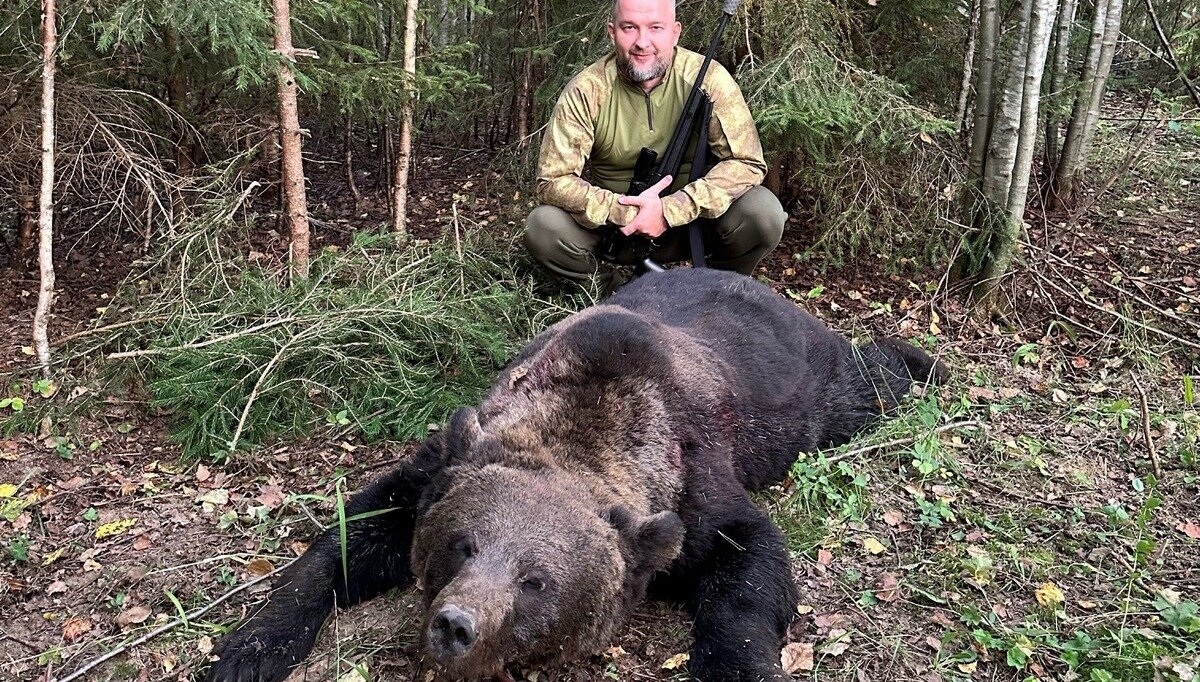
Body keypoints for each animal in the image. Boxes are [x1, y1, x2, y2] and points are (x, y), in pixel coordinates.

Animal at [206, 266, 945, 682]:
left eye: (537, 581)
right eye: (462, 544)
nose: (456, 626)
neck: (584, 421)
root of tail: (771, 290)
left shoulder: (694, 484)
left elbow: (747, 562)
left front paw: (739, 666)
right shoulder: (447, 459)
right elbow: (352, 532)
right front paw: (246, 647)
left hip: (808, 392)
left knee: (866, 386)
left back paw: (921, 359)